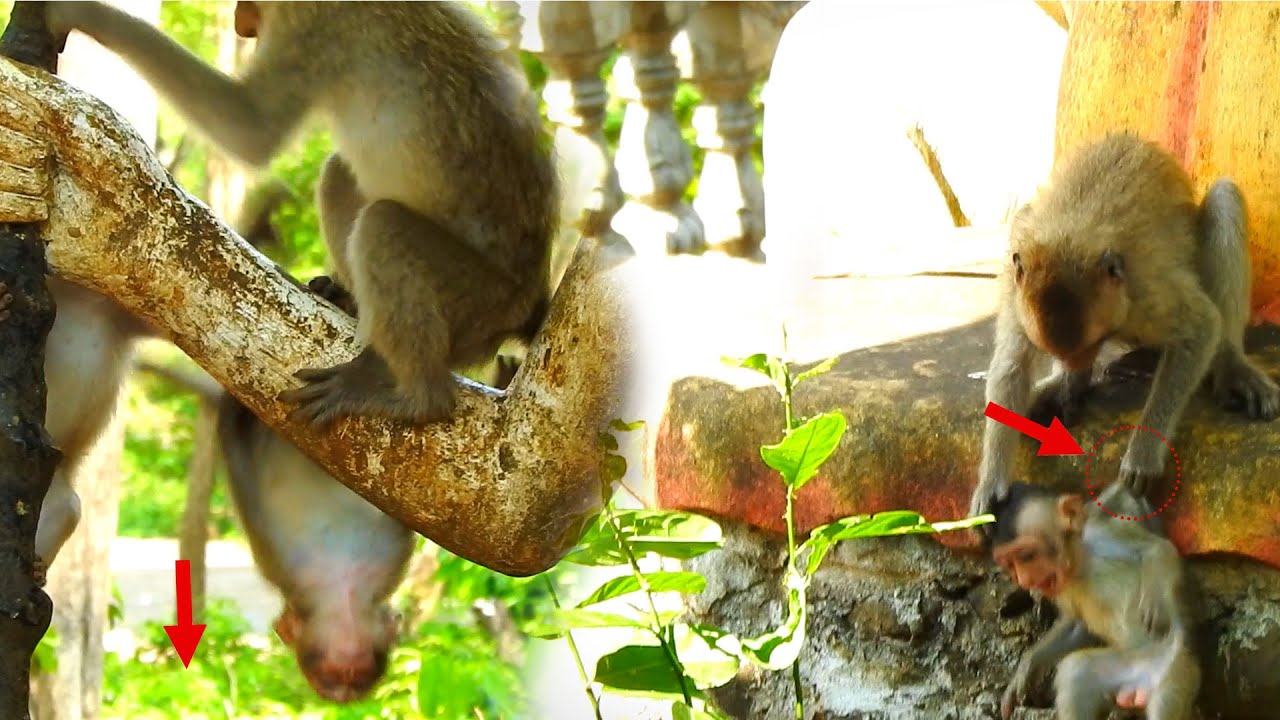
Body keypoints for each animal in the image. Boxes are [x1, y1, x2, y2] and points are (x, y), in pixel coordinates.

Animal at [46, 1, 557, 428]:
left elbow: (250, 126)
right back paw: (353, 307)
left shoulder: (310, 23)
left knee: (384, 228)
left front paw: (83, 12)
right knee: (340, 176)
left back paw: (416, 397)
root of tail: (528, 302)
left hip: (481, 300)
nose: (240, 20)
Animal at [971, 131, 1280, 522]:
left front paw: (1144, 452)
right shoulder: (1017, 287)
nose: (1075, 364)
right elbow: (1012, 367)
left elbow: (1202, 326)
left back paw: (1231, 364)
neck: (1069, 241)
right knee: (1024, 214)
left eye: (1093, 344)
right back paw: (1067, 385)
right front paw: (990, 484)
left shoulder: (1146, 294)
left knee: (1224, 200)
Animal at [991, 481, 1199, 719]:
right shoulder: (1061, 587)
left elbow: (1159, 549)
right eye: (1009, 564)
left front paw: (1154, 602)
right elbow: (1075, 623)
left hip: (1172, 669)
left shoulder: (1103, 533)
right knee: (1075, 672)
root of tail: (1136, 688)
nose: (1025, 581)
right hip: (1121, 666)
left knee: (1166, 698)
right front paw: (1026, 668)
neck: (1079, 565)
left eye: (1026, 556)